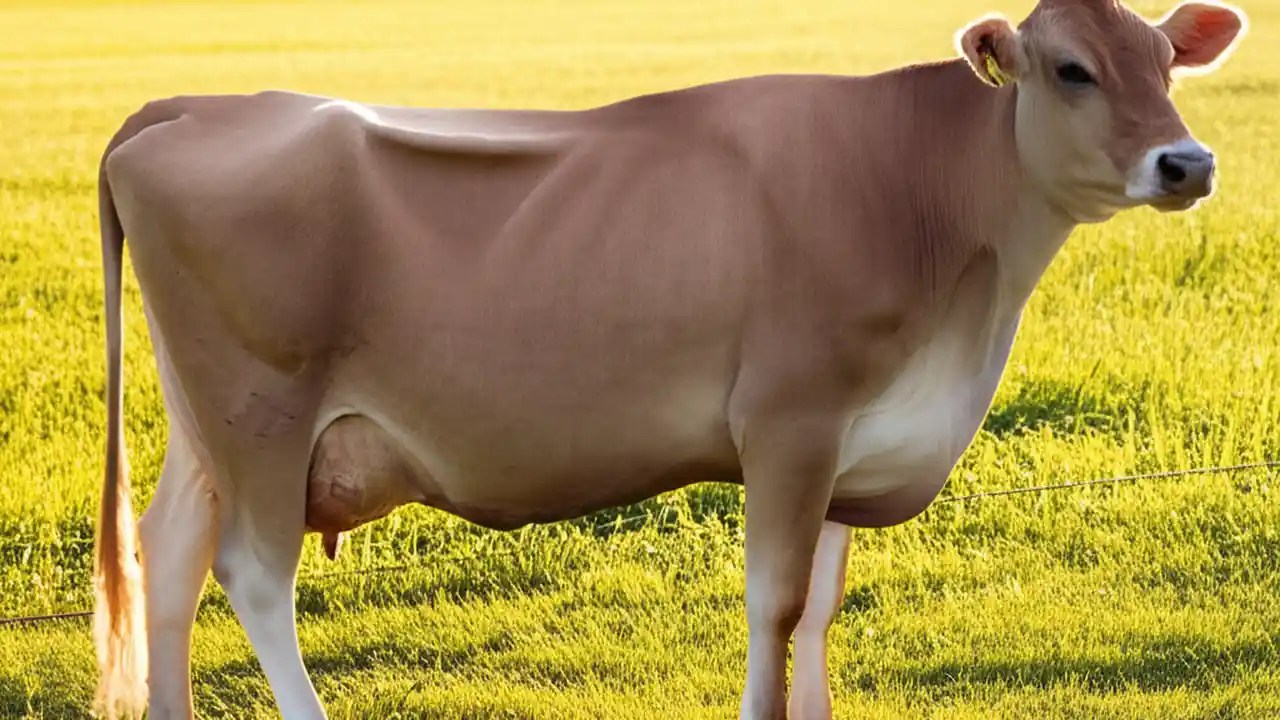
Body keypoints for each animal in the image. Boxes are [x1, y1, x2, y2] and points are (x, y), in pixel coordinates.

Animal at [91, 1, 1245, 718]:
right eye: (1071, 69)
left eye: (1165, 62)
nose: (1186, 163)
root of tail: (194, 105)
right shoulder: (786, 423)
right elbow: (775, 604)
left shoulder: (856, 439)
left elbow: (823, 606)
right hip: (263, 415)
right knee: (252, 575)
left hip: (206, 427)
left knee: (169, 553)